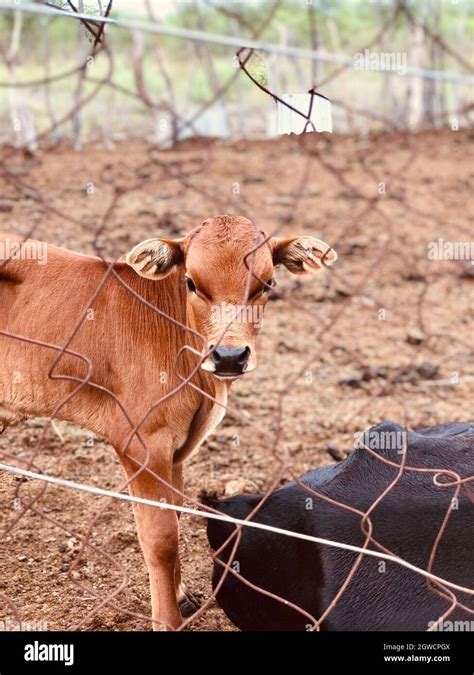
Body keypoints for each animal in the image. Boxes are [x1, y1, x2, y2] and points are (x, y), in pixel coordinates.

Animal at [0, 214, 337, 629]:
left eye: (267, 284)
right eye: (191, 282)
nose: (229, 356)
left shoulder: (176, 448)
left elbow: (174, 514)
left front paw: (181, 597)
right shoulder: (142, 443)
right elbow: (161, 538)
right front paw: (168, 620)